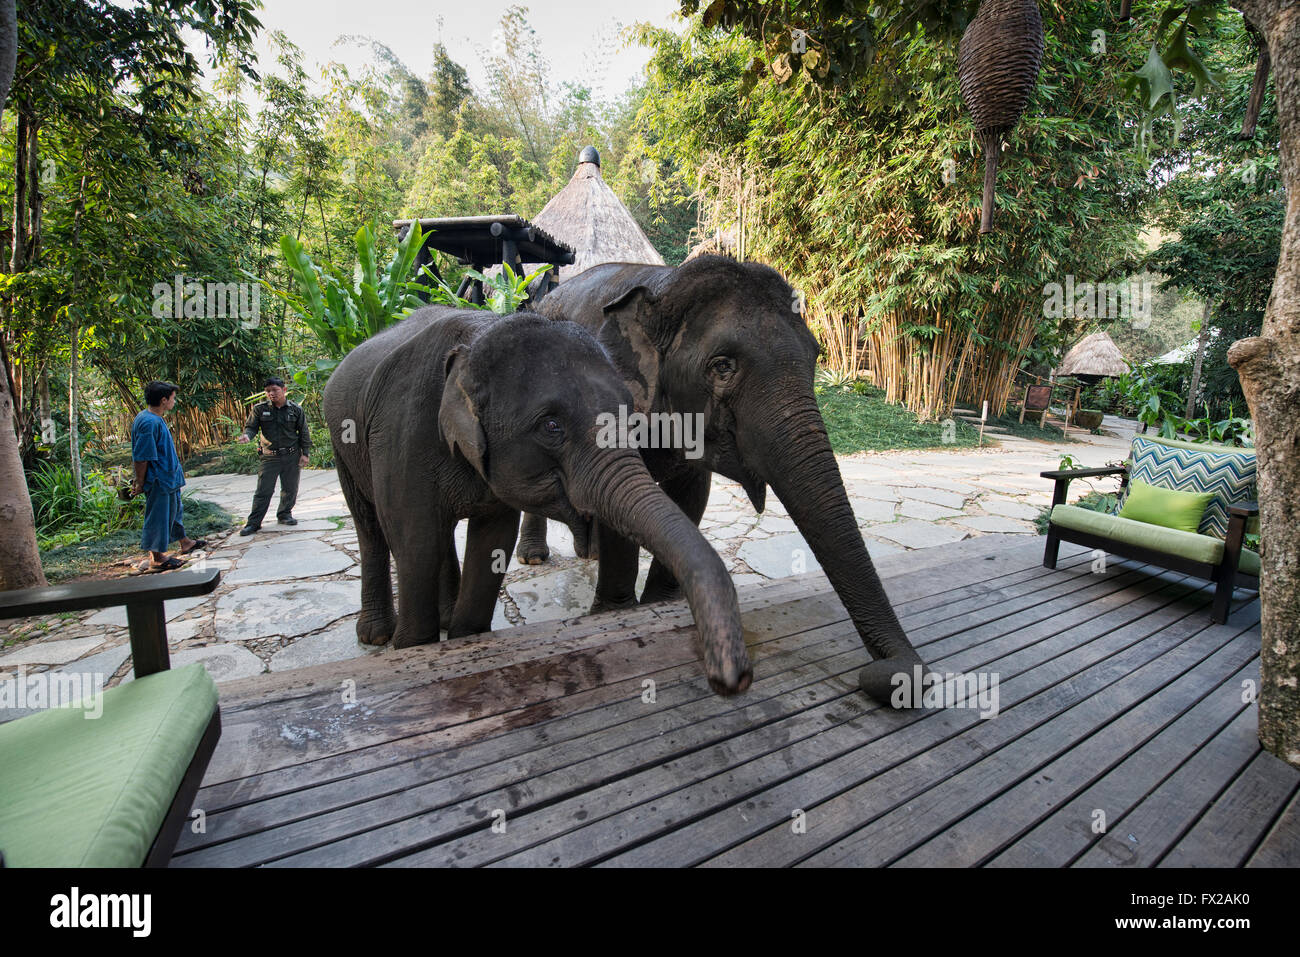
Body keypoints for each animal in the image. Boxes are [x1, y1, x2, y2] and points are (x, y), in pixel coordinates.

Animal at [321, 306, 752, 696]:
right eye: (551, 426)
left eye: (632, 419)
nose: (733, 678)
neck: (477, 336)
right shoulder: (403, 437)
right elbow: (415, 541)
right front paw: (414, 649)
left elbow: (492, 541)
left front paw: (466, 639)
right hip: (342, 443)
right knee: (370, 528)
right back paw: (376, 636)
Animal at [518, 255, 928, 704]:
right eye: (722, 367)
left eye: (815, 356)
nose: (886, 675)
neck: (666, 284)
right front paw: (615, 614)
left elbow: (692, 498)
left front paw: (662, 604)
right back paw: (534, 557)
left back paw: (587, 553)